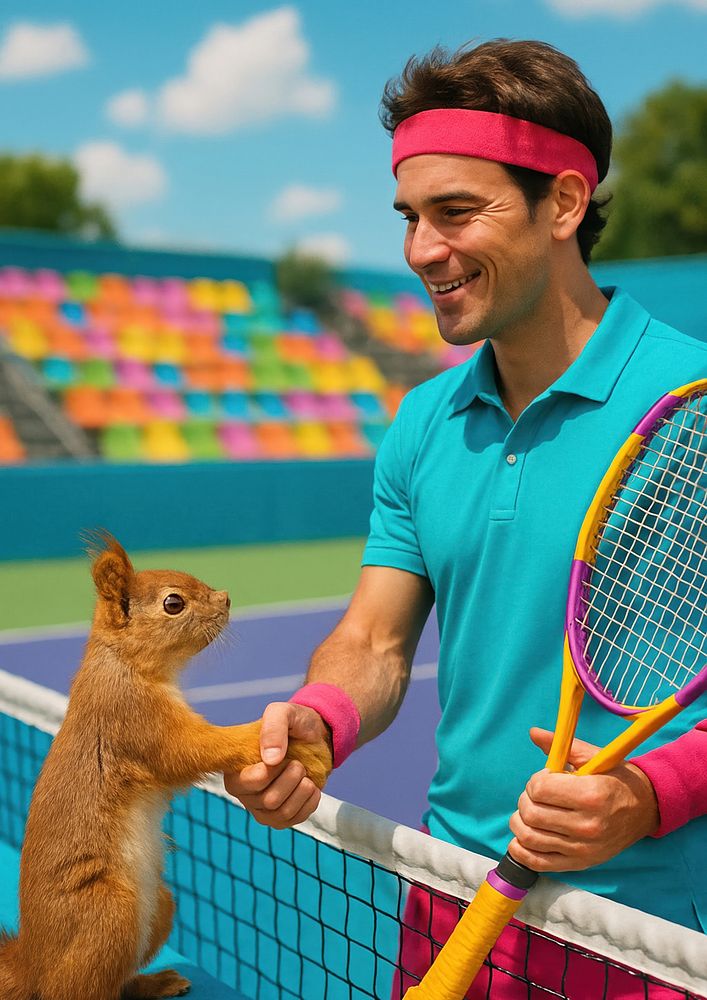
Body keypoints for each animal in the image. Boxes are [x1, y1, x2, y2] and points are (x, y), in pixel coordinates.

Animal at [0, 534, 332, 1000]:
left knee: (120, 980)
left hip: (160, 903)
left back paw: (154, 981)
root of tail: (32, 967)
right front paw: (303, 747)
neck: (123, 663)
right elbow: (202, 747)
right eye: (173, 603)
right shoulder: (137, 719)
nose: (226, 598)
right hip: (109, 914)